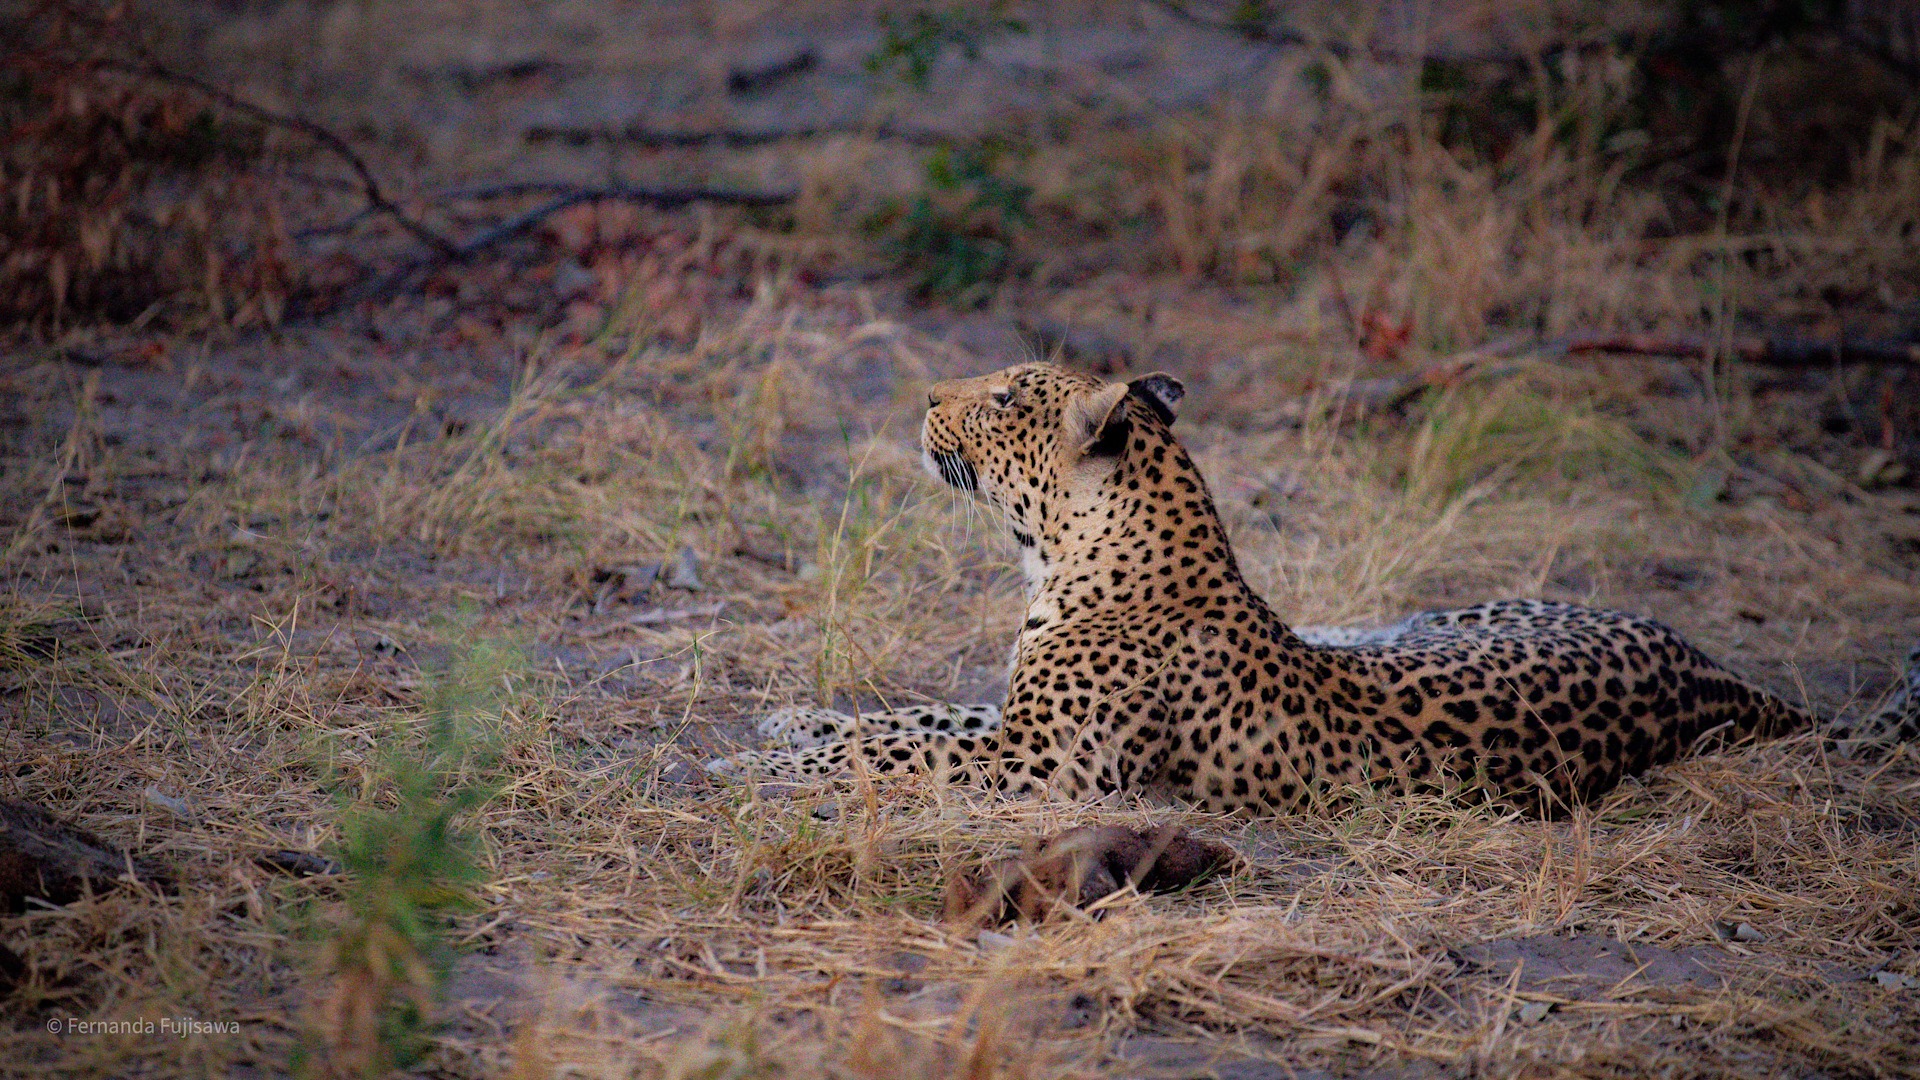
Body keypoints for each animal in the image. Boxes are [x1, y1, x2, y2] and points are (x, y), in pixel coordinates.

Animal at [709, 363, 1920, 820]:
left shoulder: (1047, 763)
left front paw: (766, 763)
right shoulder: (1017, 722)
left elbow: (910, 750)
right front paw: (787, 725)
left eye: (1007, 396)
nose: (924, 396)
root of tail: (1717, 671)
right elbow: (914, 717)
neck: (1061, 559)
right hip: (1436, 614)